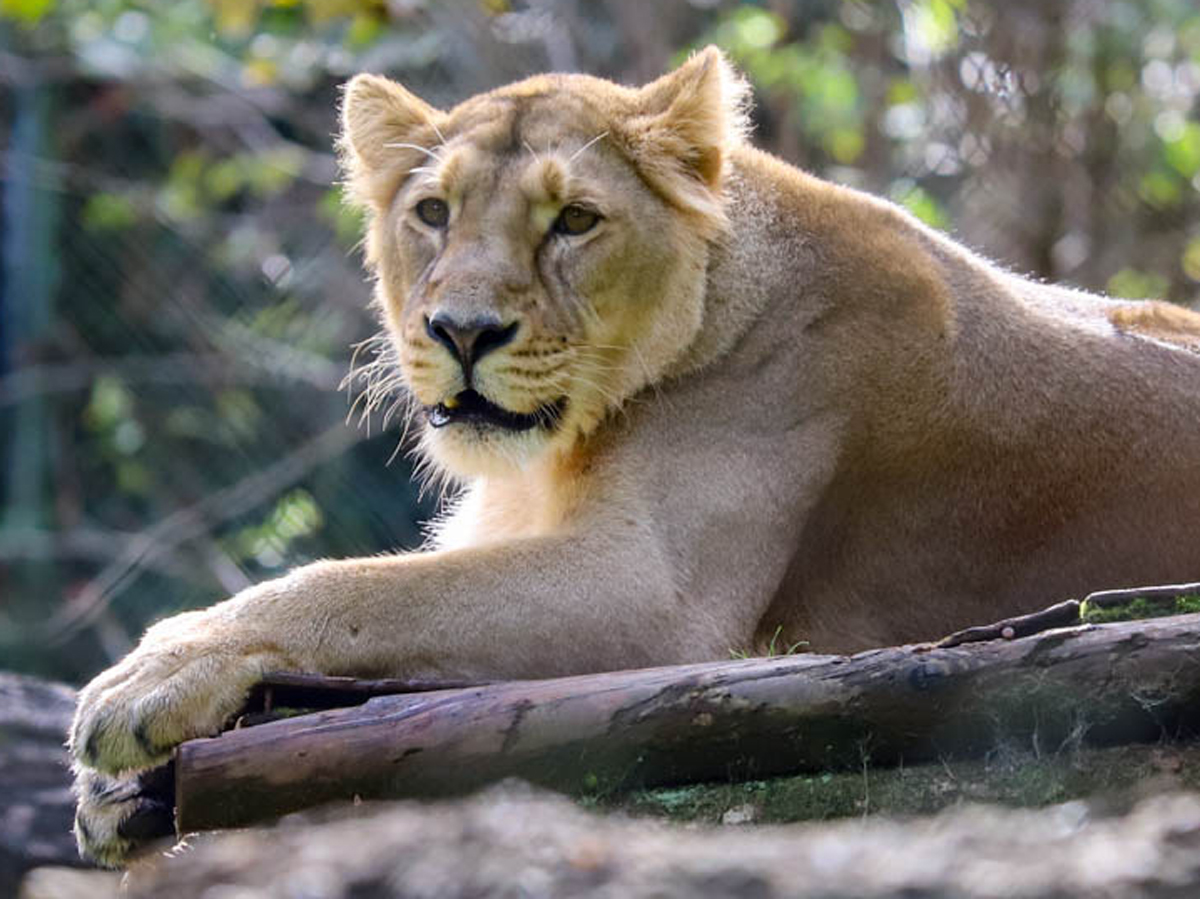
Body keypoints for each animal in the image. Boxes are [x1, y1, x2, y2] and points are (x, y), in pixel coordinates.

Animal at [70, 47, 1200, 866]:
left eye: (575, 220)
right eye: (432, 211)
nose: (461, 331)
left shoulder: (655, 592)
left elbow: (358, 587)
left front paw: (155, 673)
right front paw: (120, 794)